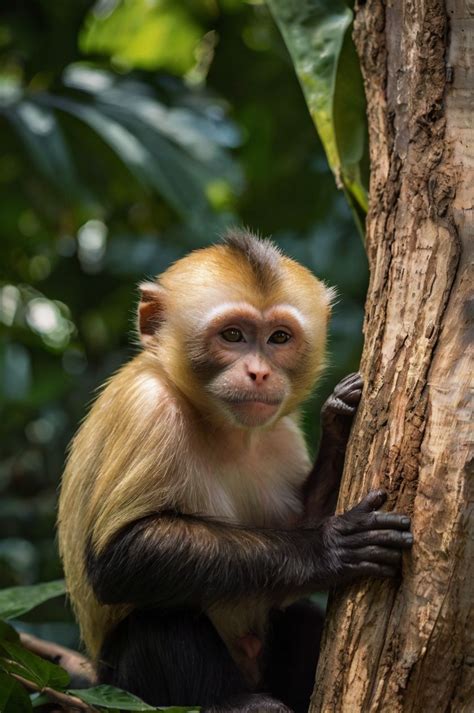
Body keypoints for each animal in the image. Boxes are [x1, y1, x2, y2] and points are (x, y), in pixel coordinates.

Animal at [57, 229, 413, 713]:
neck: (223, 428)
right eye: (232, 335)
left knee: (295, 616)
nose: (259, 373)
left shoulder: (280, 431)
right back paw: (237, 702)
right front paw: (326, 548)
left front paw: (339, 423)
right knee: (158, 618)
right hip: (120, 687)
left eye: (279, 337)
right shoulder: (148, 408)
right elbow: (118, 558)